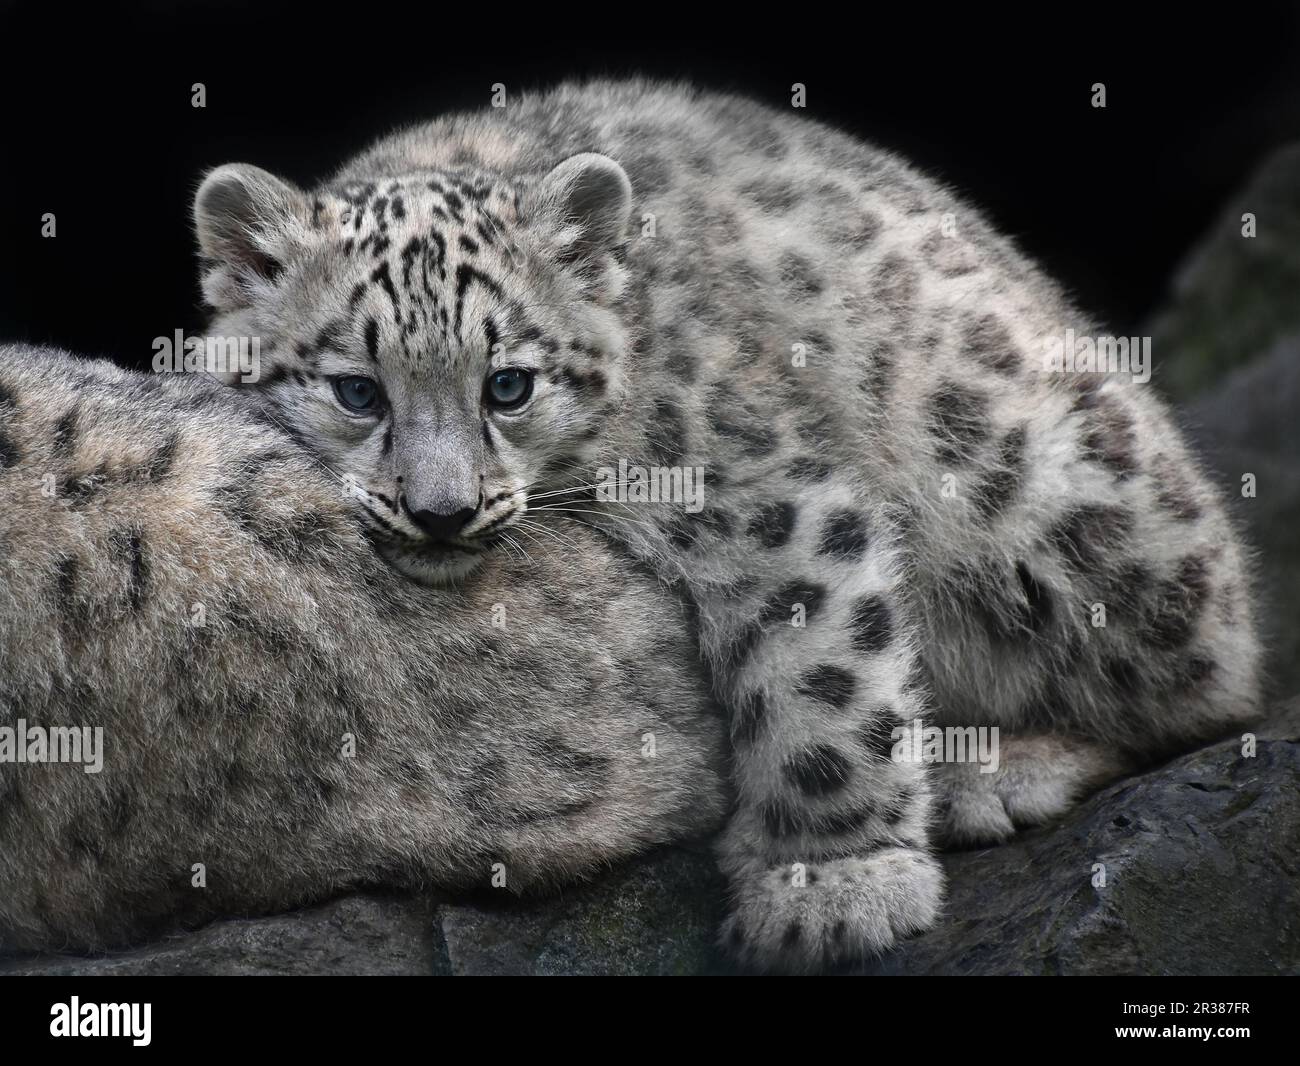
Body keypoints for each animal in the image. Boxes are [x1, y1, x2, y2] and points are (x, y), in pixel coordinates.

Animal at [191, 78, 1263, 972]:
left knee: (1207, 690)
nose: (442, 509)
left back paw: (995, 770)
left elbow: (825, 678)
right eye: (357, 391)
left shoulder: (765, 491)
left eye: (508, 384)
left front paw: (833, 894)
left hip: (1039, 484)